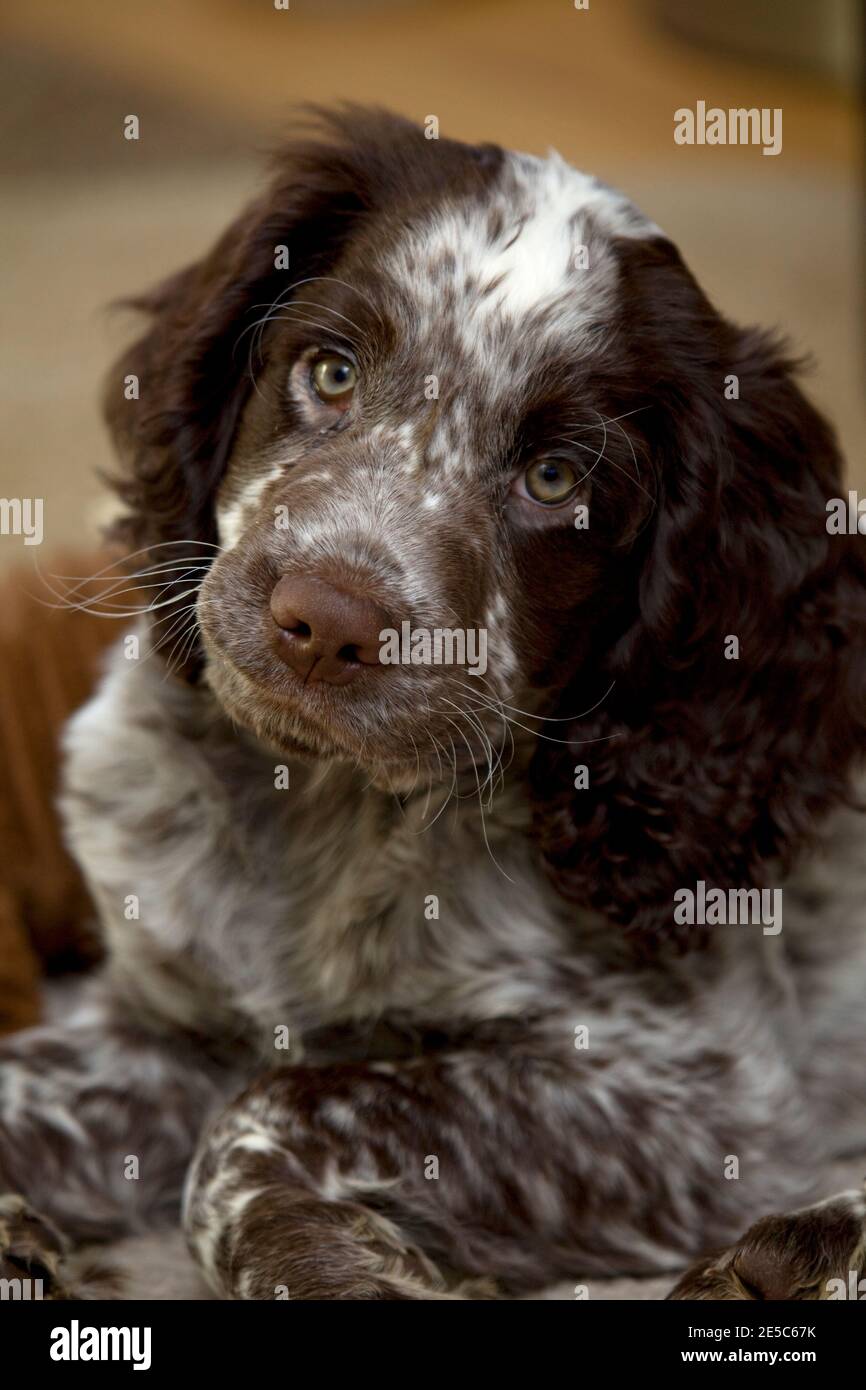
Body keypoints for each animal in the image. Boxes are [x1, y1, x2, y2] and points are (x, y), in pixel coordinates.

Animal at [1, 111, 866, 1301]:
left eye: (554, 481)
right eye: (328, 371)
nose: (323, 620)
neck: (328, 815)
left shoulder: (697, 1104)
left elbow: (273, 1108)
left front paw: (333, 1261)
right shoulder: (164, 1031)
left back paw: (784, 1263)